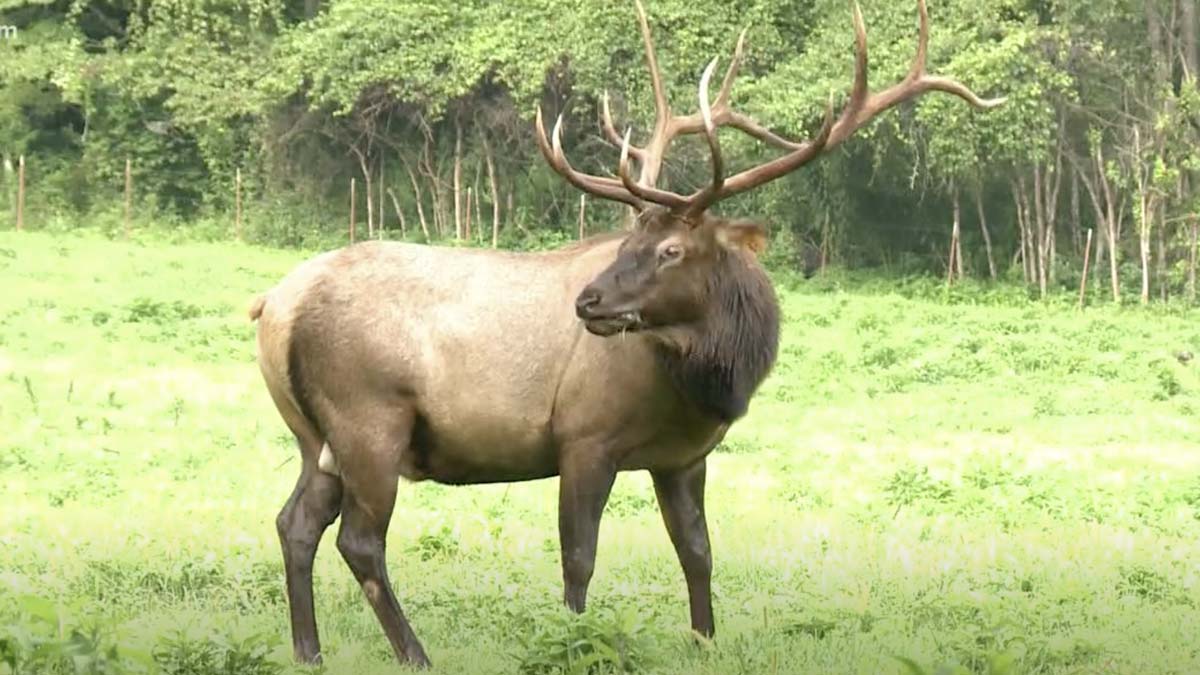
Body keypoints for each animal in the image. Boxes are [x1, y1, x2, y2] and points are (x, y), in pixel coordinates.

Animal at [248, 0, 1002, 668]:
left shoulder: (685, 456)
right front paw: (572, 641)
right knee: (360, 540)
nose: (590, 300)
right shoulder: (584, 437)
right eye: (629, 240)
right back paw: (415, 653)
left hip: (313, 435)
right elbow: (579, 558)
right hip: (369, 417)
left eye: (669, 249)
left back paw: (308, 651)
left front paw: (706, 641)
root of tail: (273, 304)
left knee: (295, 523)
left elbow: (698, 551)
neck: (704, 384)